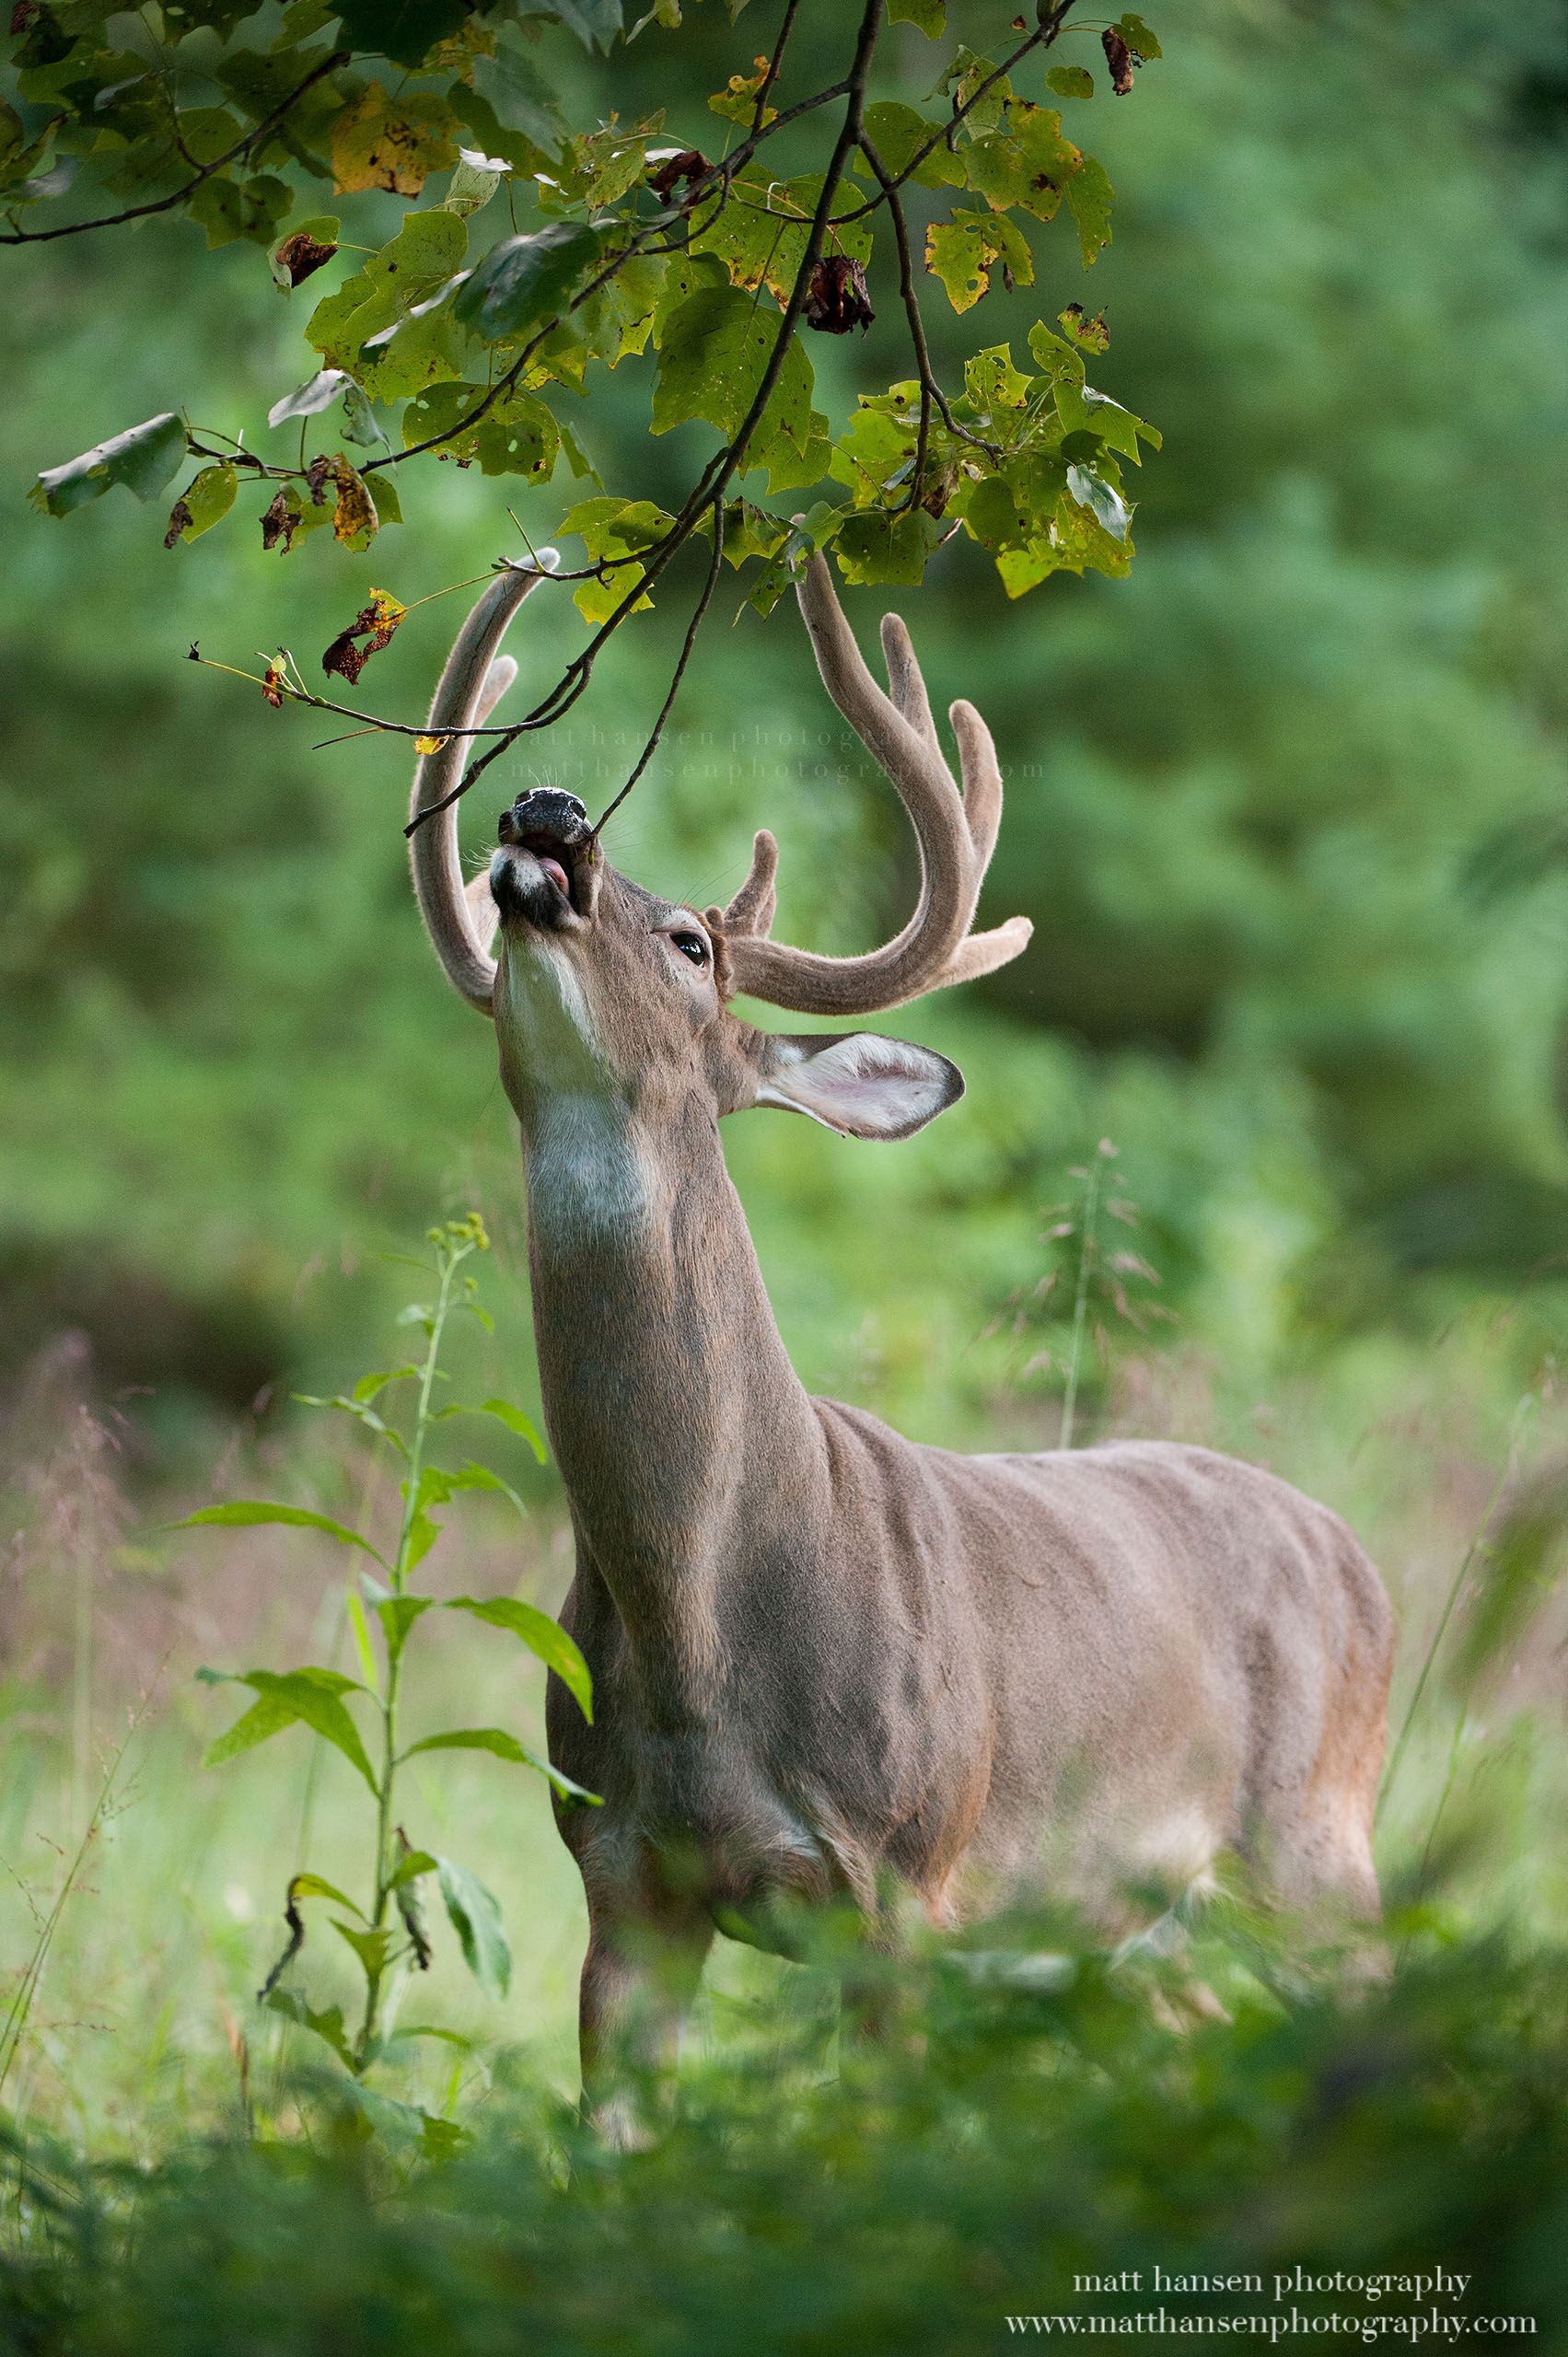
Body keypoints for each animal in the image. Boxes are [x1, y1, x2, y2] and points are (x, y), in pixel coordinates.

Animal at [407, 552, 1394, 2119]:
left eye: (690, 939)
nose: (546, 810)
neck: (698, 1612)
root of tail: (1359, 1558)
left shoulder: (904, 1876)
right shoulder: (619, 1883)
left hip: (1313, 1844)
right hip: (1137, 1931)